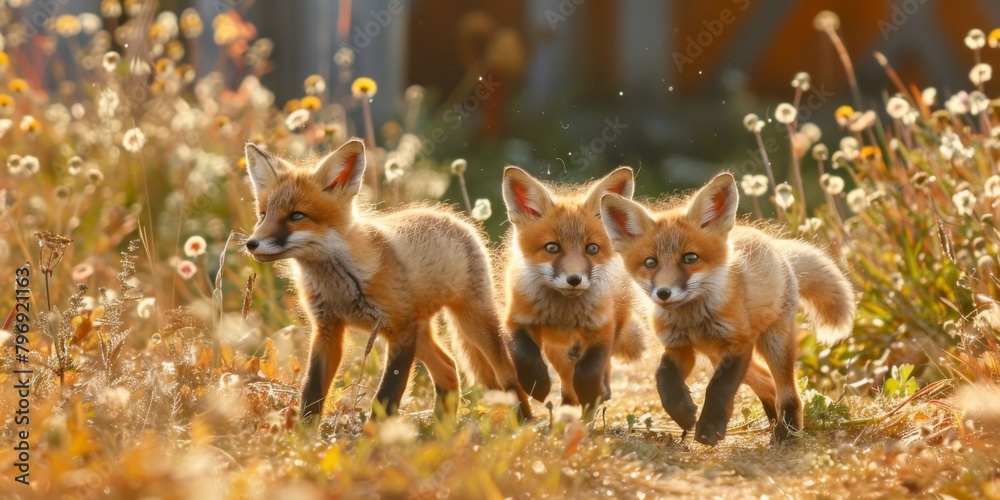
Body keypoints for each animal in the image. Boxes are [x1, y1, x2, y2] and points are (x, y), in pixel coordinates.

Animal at [243, 139, 532, 421]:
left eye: (297, 216)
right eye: (263, 215)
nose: (251, 243)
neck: (340, 287)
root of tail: (452, 217)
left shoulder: (400, 331)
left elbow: (387, 396)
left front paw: (376, 435)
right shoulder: (327, 328)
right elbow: (312, 392)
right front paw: (305, 432)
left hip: (471, 322)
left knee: (507, 374)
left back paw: (525, 423)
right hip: (419, 331)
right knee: (449, 369)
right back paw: (443, 429)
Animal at [501, 166, 647, 413]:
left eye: (592, 248)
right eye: (552, 247)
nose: (574, 279)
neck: (564, 315)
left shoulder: (602, 327)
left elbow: (590, 369)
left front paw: (591, 394)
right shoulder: (515, 320)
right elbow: (524, 355)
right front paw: (537, 385)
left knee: (599, 366)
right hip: (555, 348)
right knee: (565, 373)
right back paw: (568, 400)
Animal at [599, 172, 855, 445]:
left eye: (690, 258)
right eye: (650, 262)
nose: (664, 293)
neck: (692, 319)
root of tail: (771, 242)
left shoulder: (739, 343)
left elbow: (719, 388)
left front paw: (709, 428)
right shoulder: (678, 347)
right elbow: (664, 379)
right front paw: (683, 412)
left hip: (773, 342)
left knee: (788, 390)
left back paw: (787, 432)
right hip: (716, 354)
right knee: (766, 383)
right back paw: (773, 422)